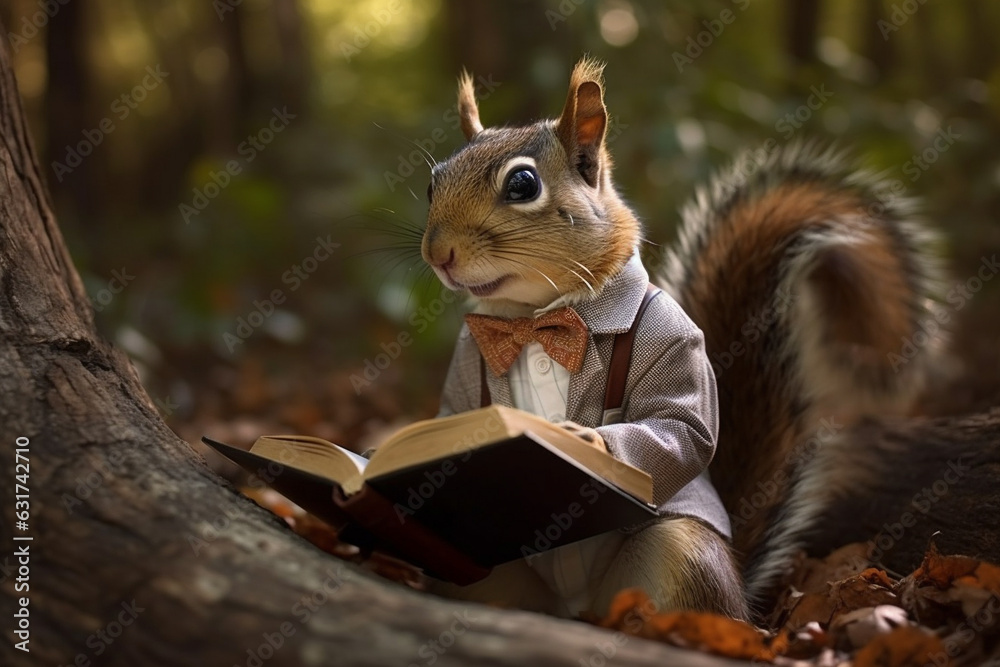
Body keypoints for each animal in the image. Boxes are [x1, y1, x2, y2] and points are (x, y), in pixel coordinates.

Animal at [418, 57, 944, 620]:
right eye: (432, 183)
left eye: (522, 184)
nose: (437, 253)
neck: (534, 318)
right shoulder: (469, 355)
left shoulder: (673, 335)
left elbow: (682, 424)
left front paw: (585, 441)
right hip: (486, 576)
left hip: (681, 554)